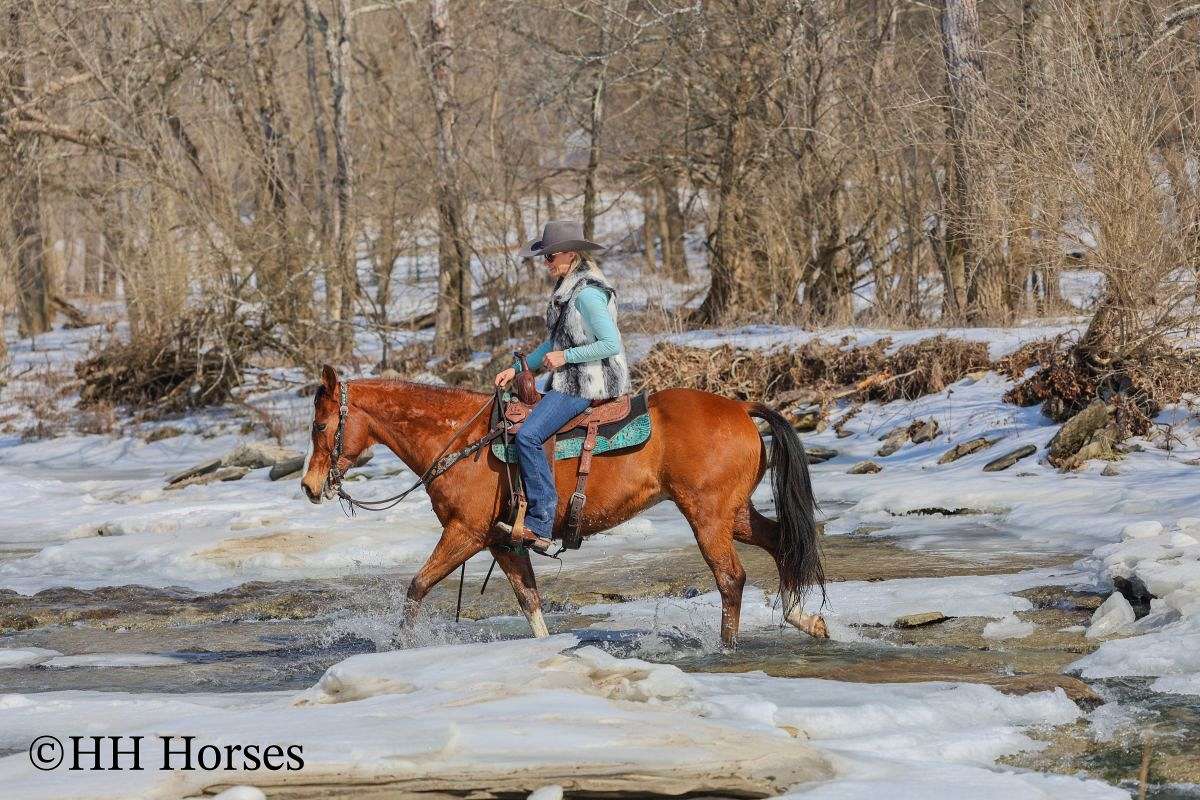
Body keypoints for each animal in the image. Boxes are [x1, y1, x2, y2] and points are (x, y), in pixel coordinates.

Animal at [301, 365, 828, 646]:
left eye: (320, 426)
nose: (309, 486)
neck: (462, 440)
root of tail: (741, 407)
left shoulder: (465, 533)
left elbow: (417, 587)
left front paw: (398, 645)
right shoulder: (503, 543)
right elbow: (529, 600)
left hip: (708, 516)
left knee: (731, 578)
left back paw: (727, 649)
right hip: (732, 513)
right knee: (782, 542)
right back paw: (805, 619)